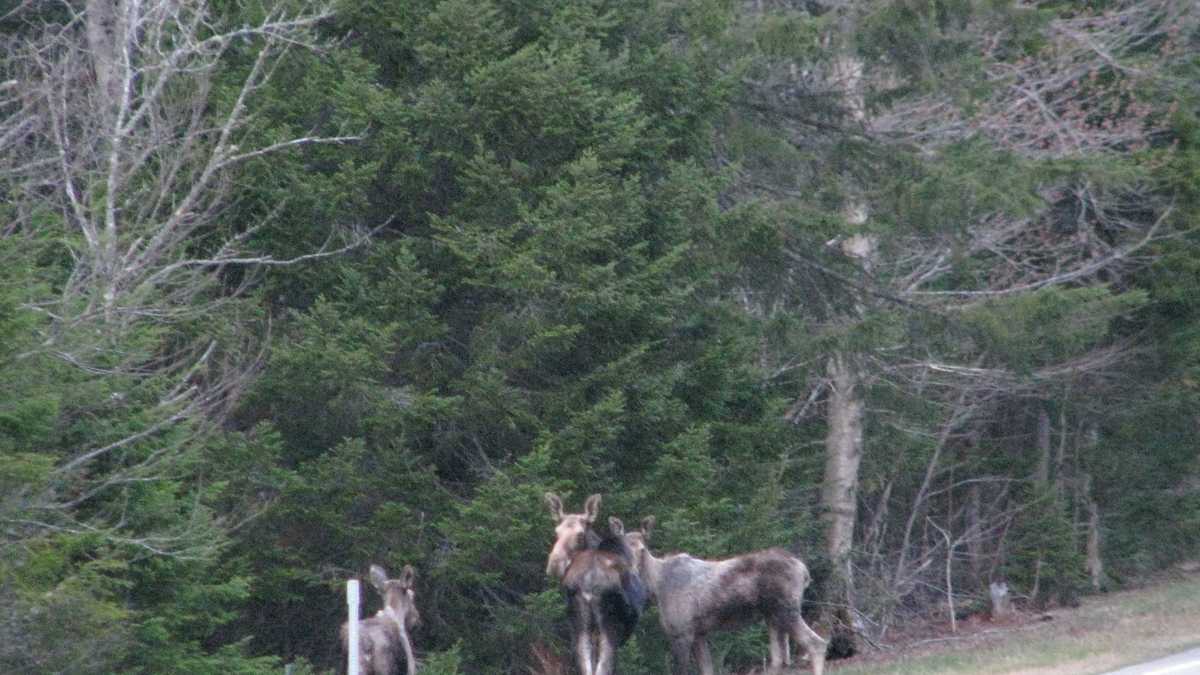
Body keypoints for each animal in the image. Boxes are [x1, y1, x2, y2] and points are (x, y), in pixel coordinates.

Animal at [544, 493, 647, 675]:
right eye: (557, 532)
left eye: (580, 534)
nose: (555, 564)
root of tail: (588, 583)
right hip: (609, 624)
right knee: (603, 667)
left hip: (580, 624)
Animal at [611, 516, 826, 675]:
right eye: (622, 549)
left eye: (642, 550)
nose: (632, 573)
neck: (656, 589)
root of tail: (804, 570)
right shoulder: (699, 633)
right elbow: (707, 670)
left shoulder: (682, 631)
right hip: (772, 616)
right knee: (779, 659)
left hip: (787, 610)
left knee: (817, 644)